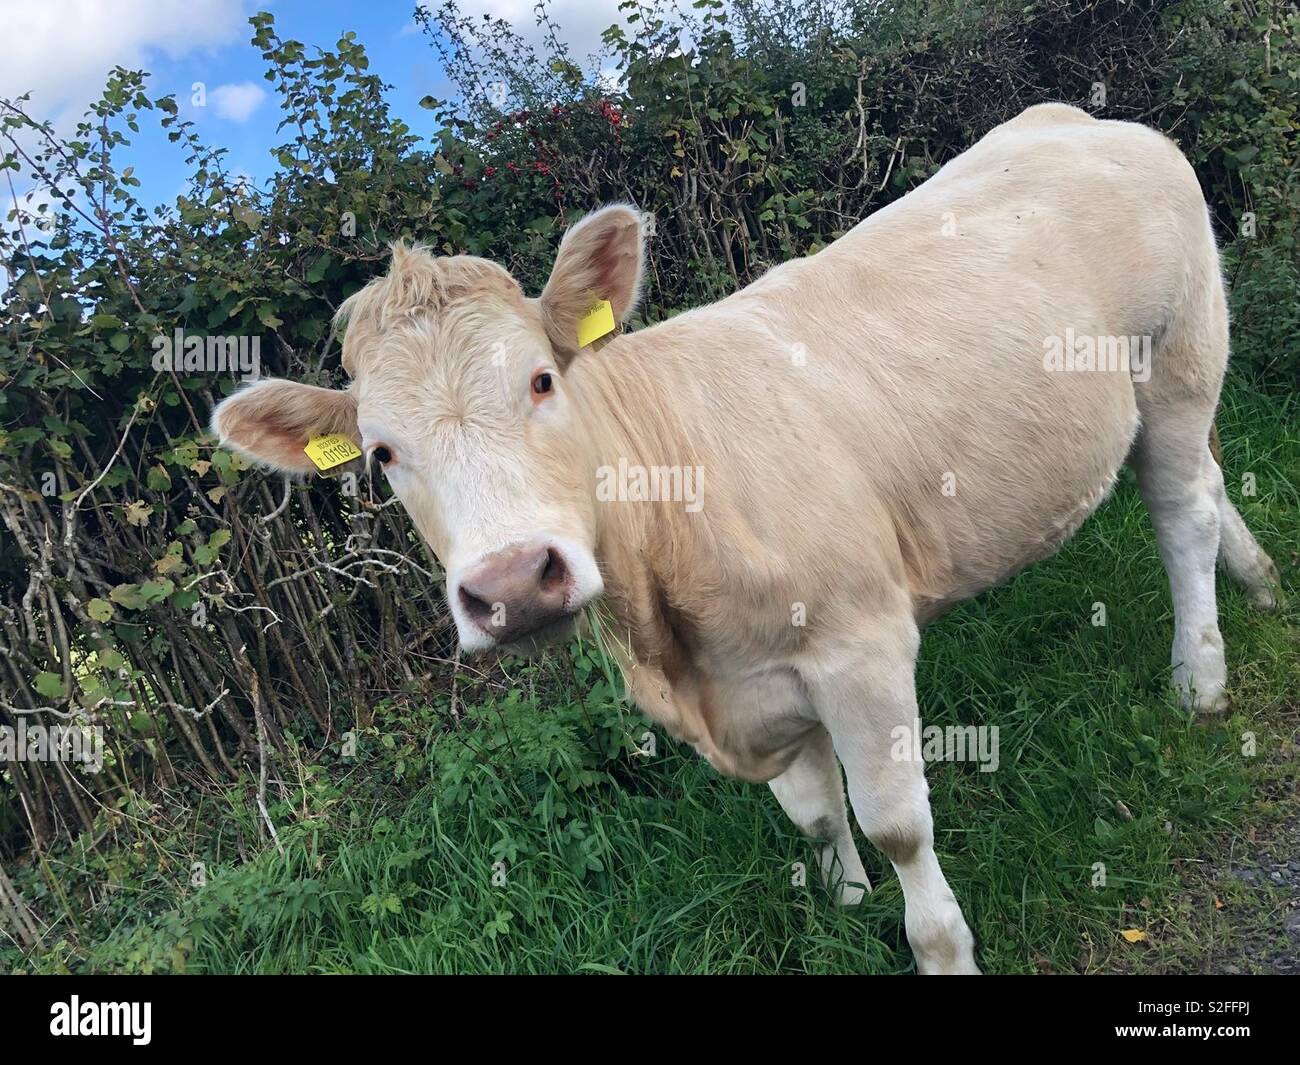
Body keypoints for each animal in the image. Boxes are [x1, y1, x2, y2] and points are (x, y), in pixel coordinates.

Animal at [213, 103, 1282, 974]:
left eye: (542, 380)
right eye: (383, 454)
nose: (514, 581)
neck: (672, 639)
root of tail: (1083, 120)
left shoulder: (859, 642)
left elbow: (896, 823)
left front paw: (939, 948)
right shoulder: (753, 678)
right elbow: (814, 812)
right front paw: (844, 900)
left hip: (1180, 353)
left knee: (1180, 509)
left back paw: (1199, 676)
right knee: (1207, 478)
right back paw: (1260, 579)